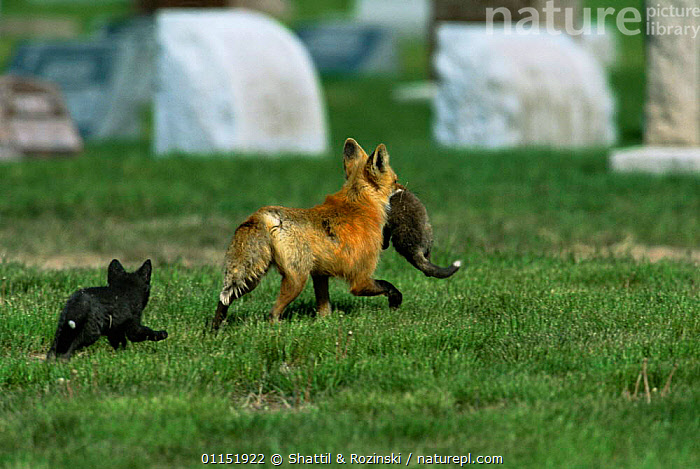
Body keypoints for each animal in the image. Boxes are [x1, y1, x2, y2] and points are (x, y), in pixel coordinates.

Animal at [212, 138, 402, 328]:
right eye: (395, 181)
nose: (403, 188)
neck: (359, 204)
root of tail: (263, 214)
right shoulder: (360, 279)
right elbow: (388, 286)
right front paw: (395, 302)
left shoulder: (320, 275)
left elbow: (325, 309)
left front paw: (324, 324)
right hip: (296, 280)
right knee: (273, 313)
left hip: (251, 277)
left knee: (224, 301)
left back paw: (215, 328)